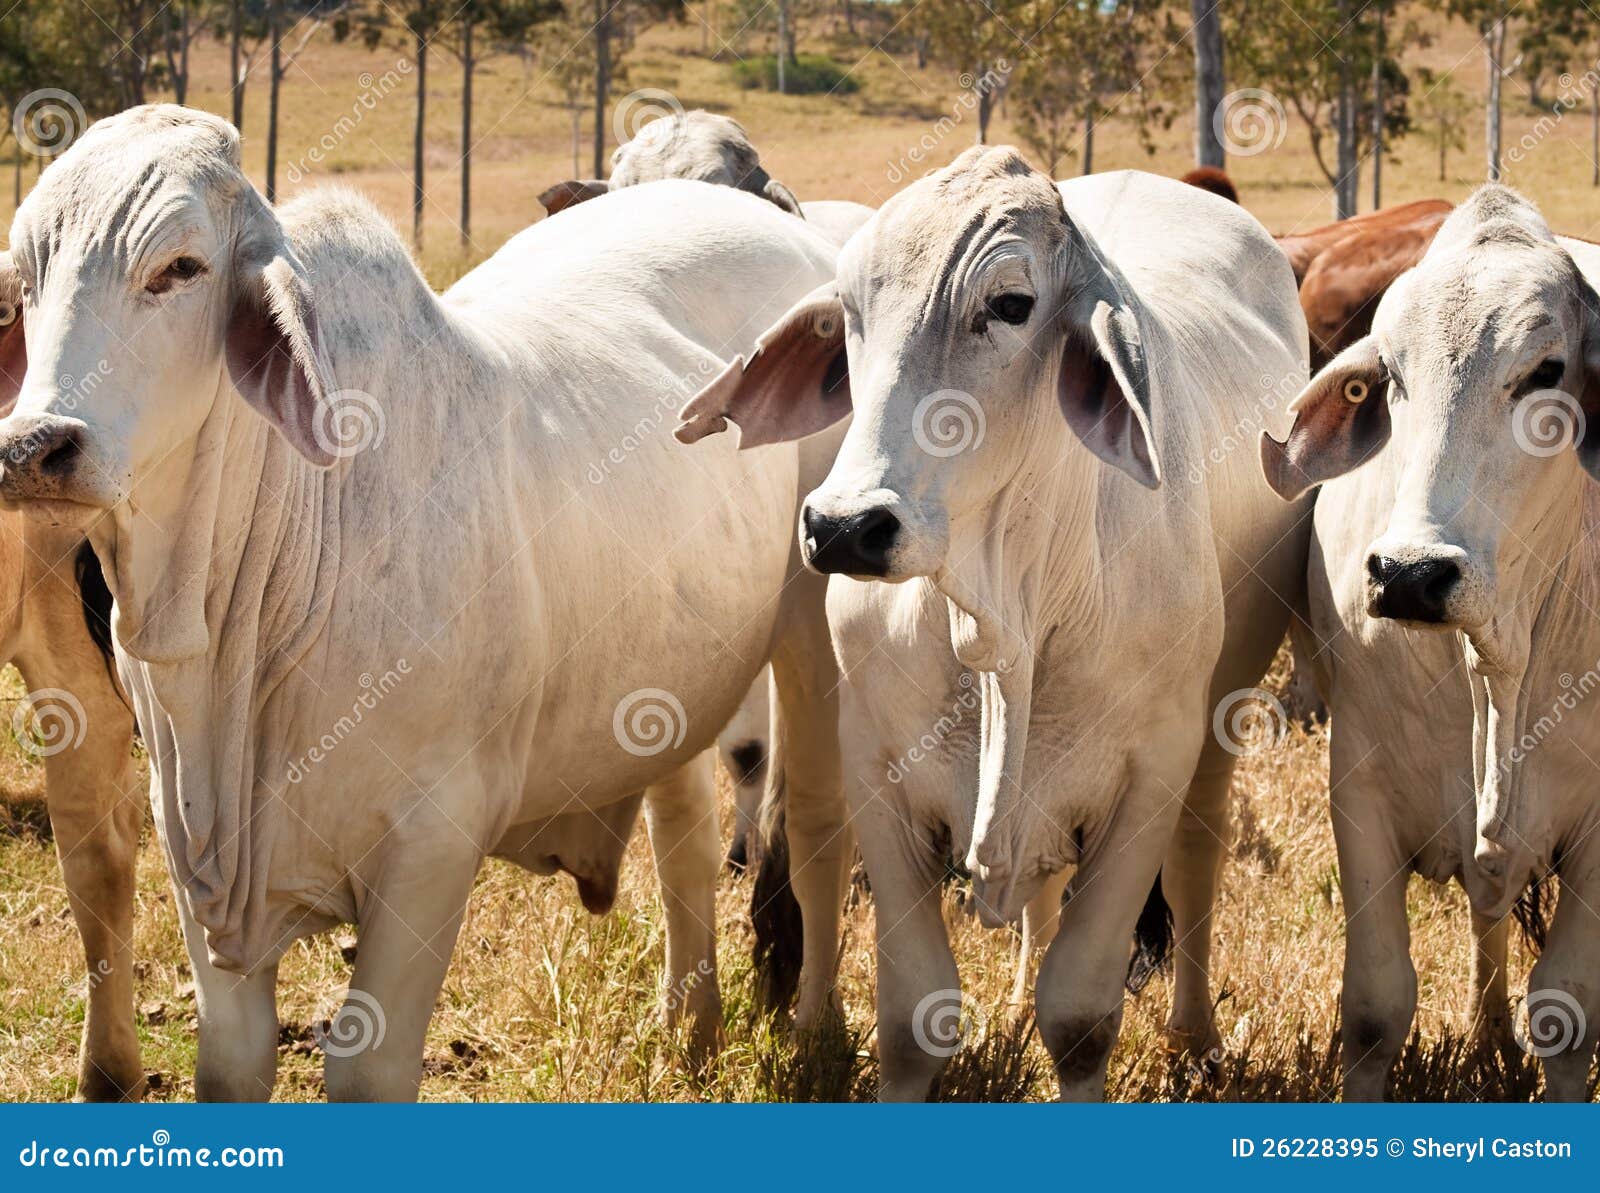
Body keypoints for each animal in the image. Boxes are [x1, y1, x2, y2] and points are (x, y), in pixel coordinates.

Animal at [0, 105, 849, 1101]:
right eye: (28, 278)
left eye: (181, 267)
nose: (36, 447)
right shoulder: (195, 850)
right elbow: (233, 1062)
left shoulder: (433, 846)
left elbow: (369, 1067)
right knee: (684, 828)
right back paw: (690, 1026)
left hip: (815, 635)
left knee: (821, 825)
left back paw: (819, 1031)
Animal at [677, 146, 1311, 1100]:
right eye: (851, 309)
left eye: (1010, 303)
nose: (844, 526)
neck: (1002, 611)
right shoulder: (877, 769)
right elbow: (913, 1013)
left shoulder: (1148, 779)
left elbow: (1080, 1017)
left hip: (1222, 711)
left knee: (1199, 853)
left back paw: (1193, 1036)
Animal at [1262, 184, 1600, 1101]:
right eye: (1392, 378)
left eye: (1545, 372)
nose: (1410, 575)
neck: (1498, 664)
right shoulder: (1361, 786)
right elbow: (1377, 1007)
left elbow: (1567, 1011)